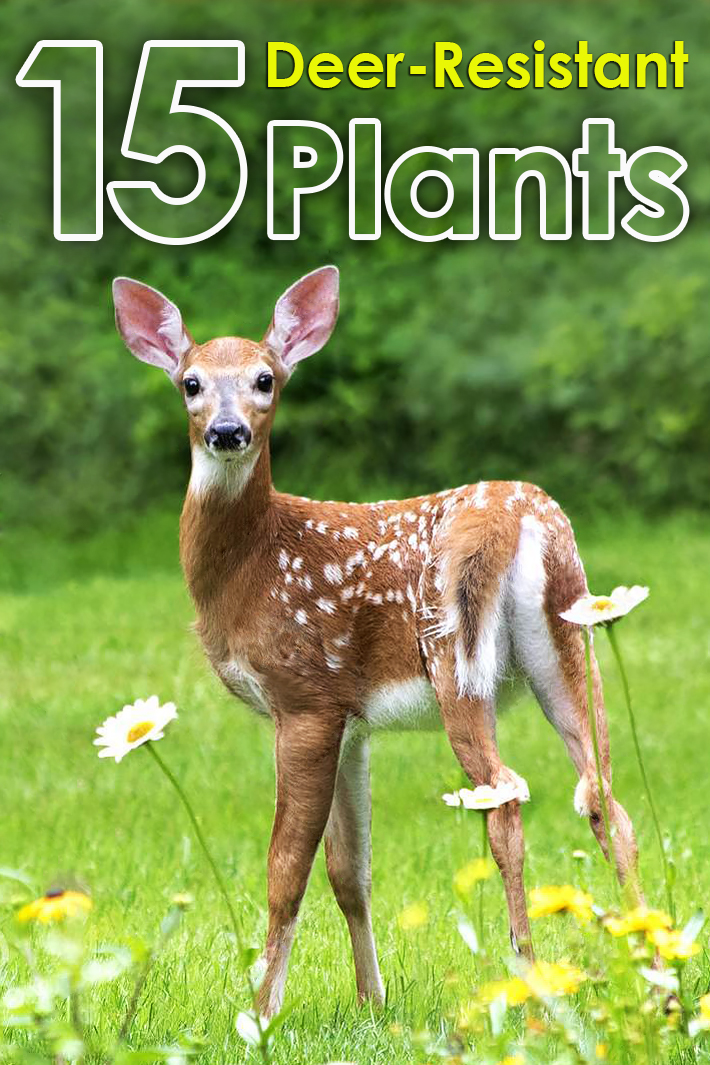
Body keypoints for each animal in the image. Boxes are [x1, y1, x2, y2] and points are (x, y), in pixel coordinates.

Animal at [112, 266, 644, 1018]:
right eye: (190, 382)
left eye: (265, 378)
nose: (227, 430)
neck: (253, 563)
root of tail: (520, 518)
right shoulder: (352, 718)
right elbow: (349, 870)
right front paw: (371, 1000)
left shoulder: (305, 695)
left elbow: (287, 866)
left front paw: (260, 1012)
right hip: (570, 640)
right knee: (603, 797)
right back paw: (647, 959)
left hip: (455, 655)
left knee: (507, 796)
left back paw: (528, 976)